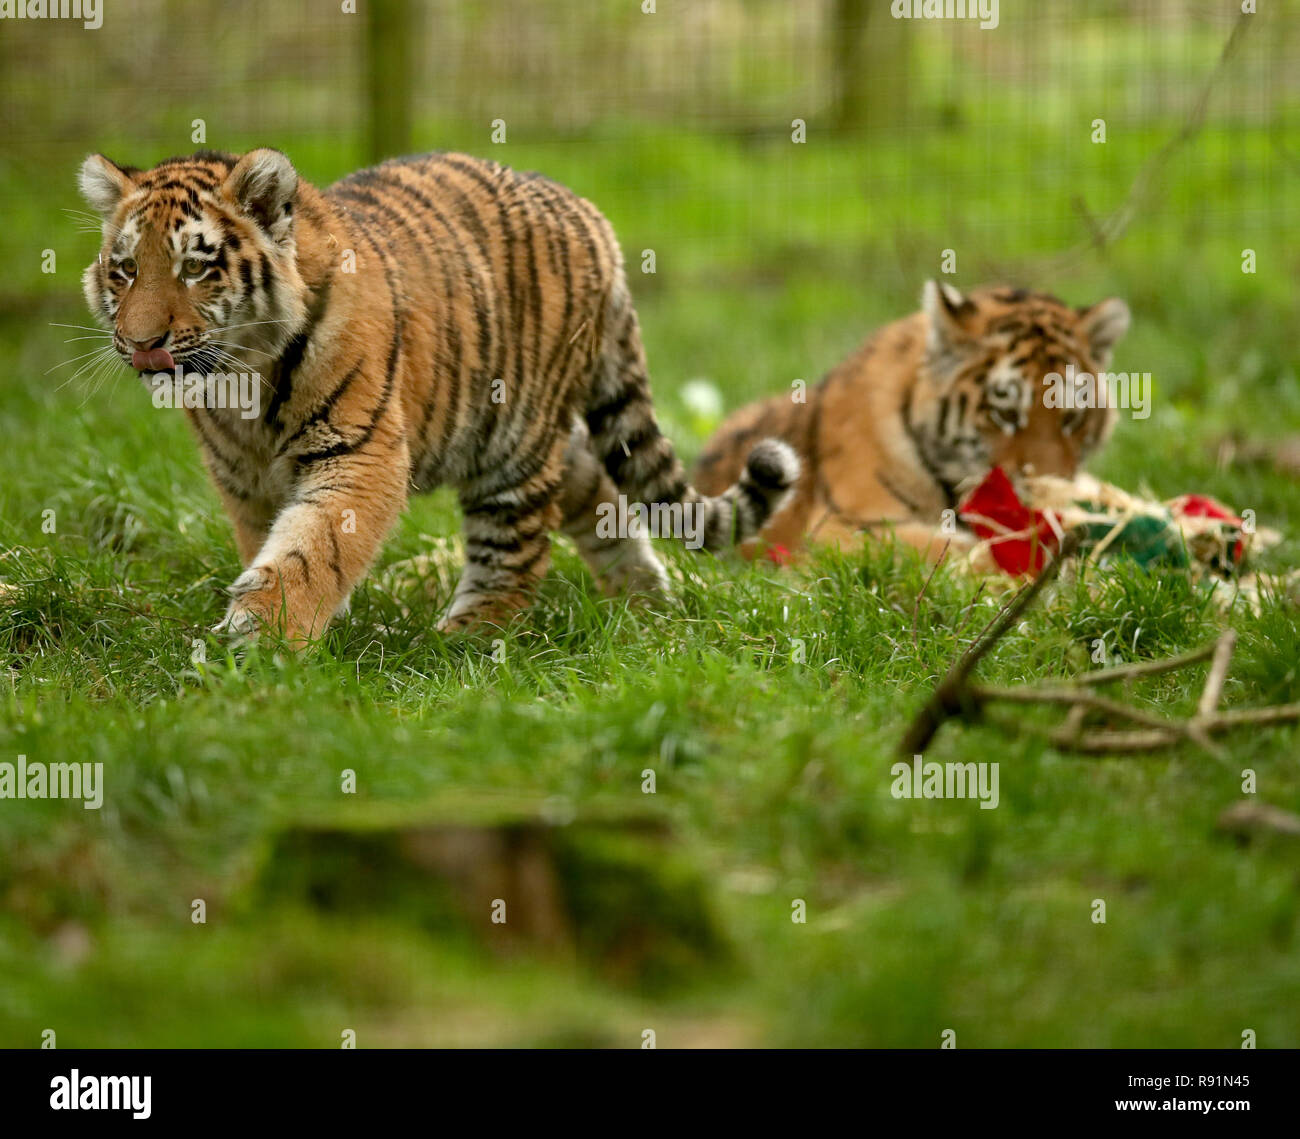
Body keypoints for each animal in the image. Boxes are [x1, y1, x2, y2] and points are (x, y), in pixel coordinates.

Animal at [77, 148, 799, 642]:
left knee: (517, 555)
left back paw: (463, 641)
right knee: (597, 487)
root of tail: (593, 216)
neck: (238, 383)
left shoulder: (359, 453)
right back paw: (645, 604)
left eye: (195, 267)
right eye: (125, 269)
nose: (141, 343)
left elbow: (309, 550)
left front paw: (259, 643)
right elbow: (271, 545)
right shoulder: (245, 480)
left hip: (513, 439)